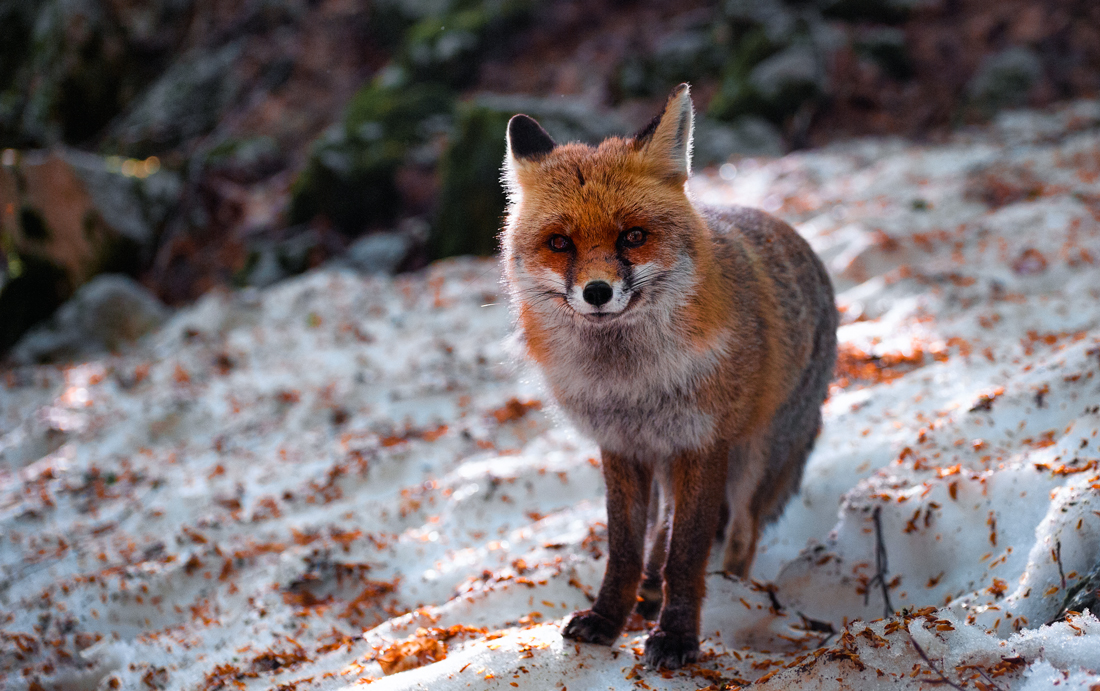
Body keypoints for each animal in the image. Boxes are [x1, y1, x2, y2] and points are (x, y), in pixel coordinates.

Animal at [499, 84, 838, 669]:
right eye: (560, 243)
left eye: (633, 236)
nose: (596, 292)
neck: (633, 383)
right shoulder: (622, 447)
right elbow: (625, 549)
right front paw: (608, 620)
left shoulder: (702, 445)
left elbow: (686, 554)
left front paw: (679, 636)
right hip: (666, 464)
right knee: (661, 534)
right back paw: (651, 594)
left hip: (753, 460)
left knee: (740, 536)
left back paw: (732, 598)